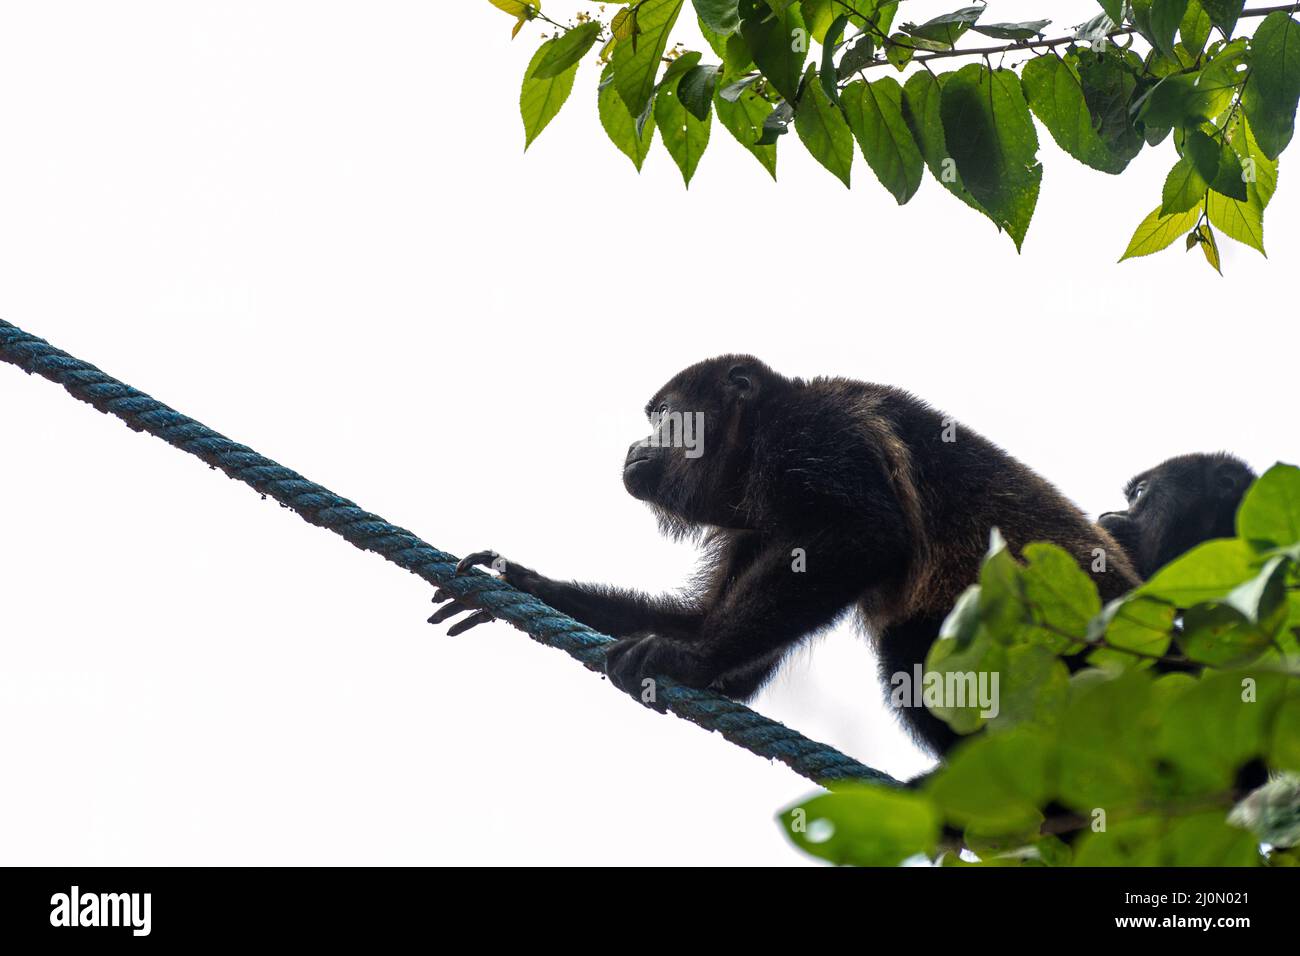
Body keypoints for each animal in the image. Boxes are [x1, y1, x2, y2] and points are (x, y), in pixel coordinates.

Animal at [430, 355, 1140, 756]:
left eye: (665, 417)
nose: (634, 446)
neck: (750, 450)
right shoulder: (754, 528)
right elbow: (714, 637)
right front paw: (519, 581)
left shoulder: (815, 434)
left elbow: (868, 534)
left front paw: (687, 658)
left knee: (914, 649)